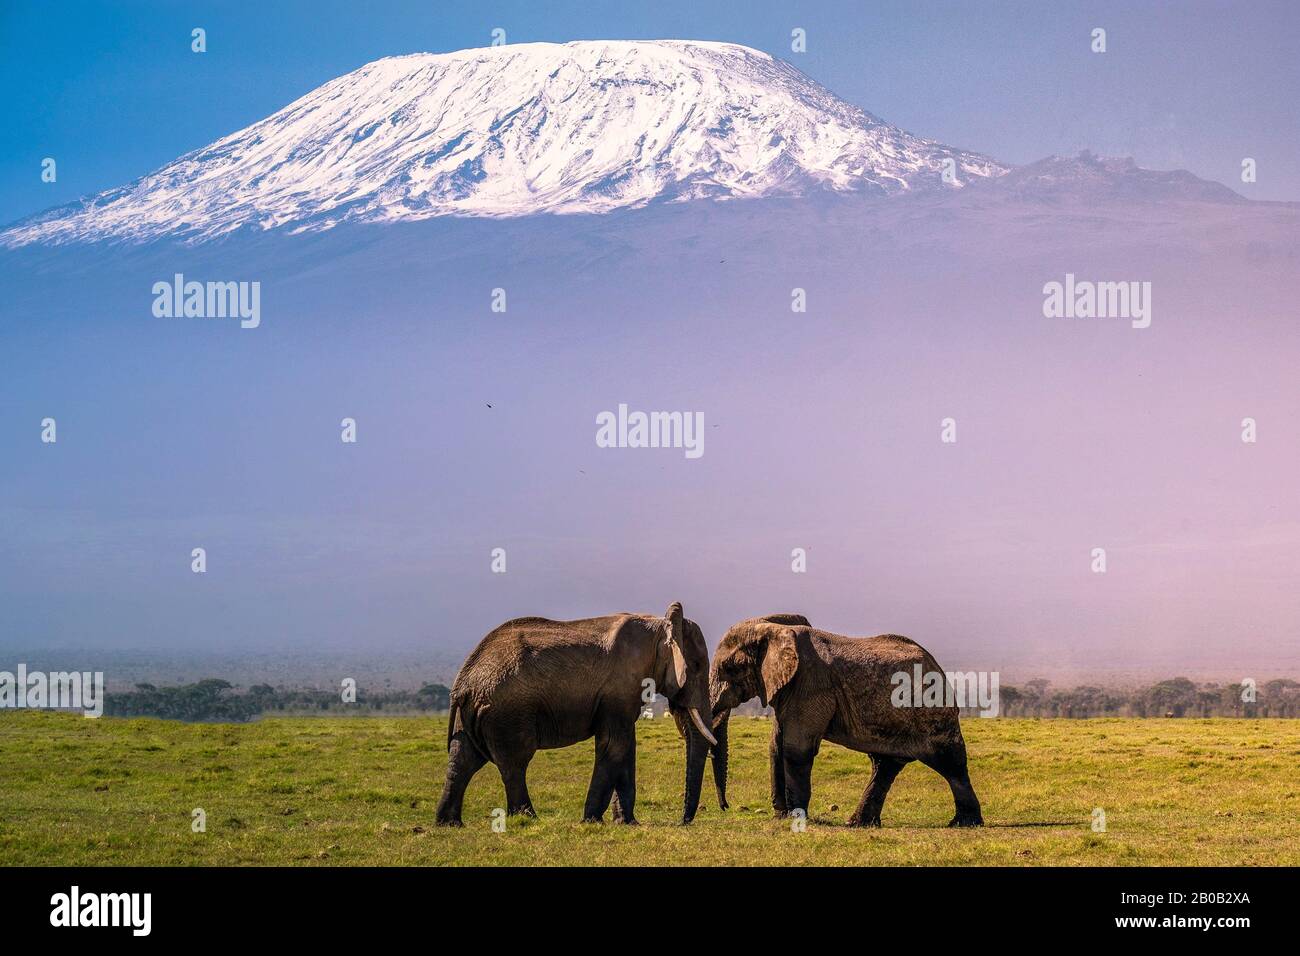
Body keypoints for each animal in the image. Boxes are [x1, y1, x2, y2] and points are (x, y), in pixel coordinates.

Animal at [435, 602, 717, 826]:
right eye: (696, 666)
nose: (683, 821)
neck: (658, 625)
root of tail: (463, 682)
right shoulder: (619, 688)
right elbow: (615, 745)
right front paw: (592, 821)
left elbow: (626, 746)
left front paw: (626, 823)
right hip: (507, 712)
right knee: (514, 763)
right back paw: (529, 819)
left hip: (474, 713)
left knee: (464, 759)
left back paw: (449, 824)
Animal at [709, 614, 983, 827]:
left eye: (730, 668)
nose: (725, 806)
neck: (773, 629)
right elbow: (776, 747)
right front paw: (781, 817)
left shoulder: (811, 685)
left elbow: (796, 748)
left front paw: (795, 819)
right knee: (884, 765)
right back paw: (859, 823)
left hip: (933, 712)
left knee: (951, 763)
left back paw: (964, 824)